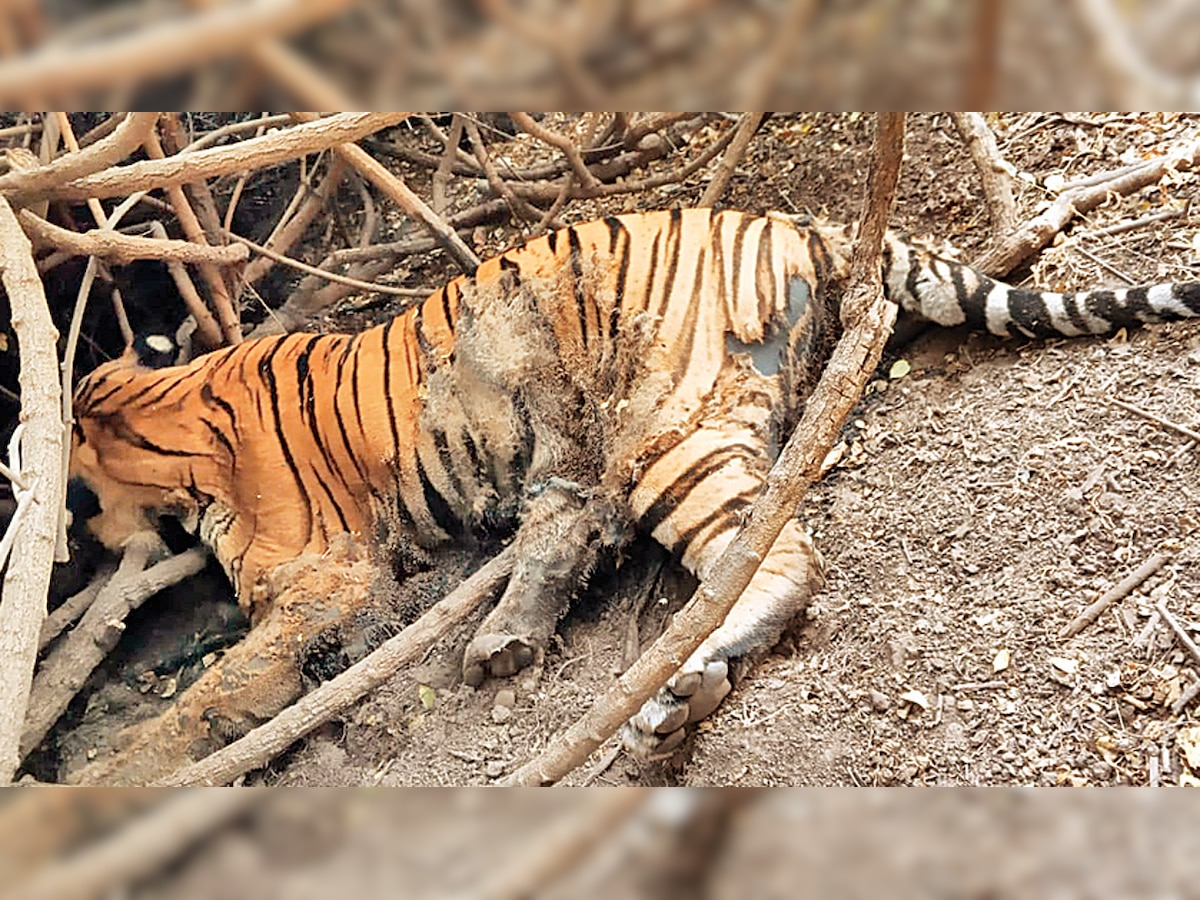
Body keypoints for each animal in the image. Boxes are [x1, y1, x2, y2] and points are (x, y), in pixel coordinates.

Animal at [66, 207, 1200, 783]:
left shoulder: (321, 582)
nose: (91, 545)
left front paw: (114, 773)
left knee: (772, 558)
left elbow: (216, 688)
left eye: (75, 506)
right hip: (603, 433)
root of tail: (802, 220)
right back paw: (518, 648)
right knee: (586, 533)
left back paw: (670, 703)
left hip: (670, 432)